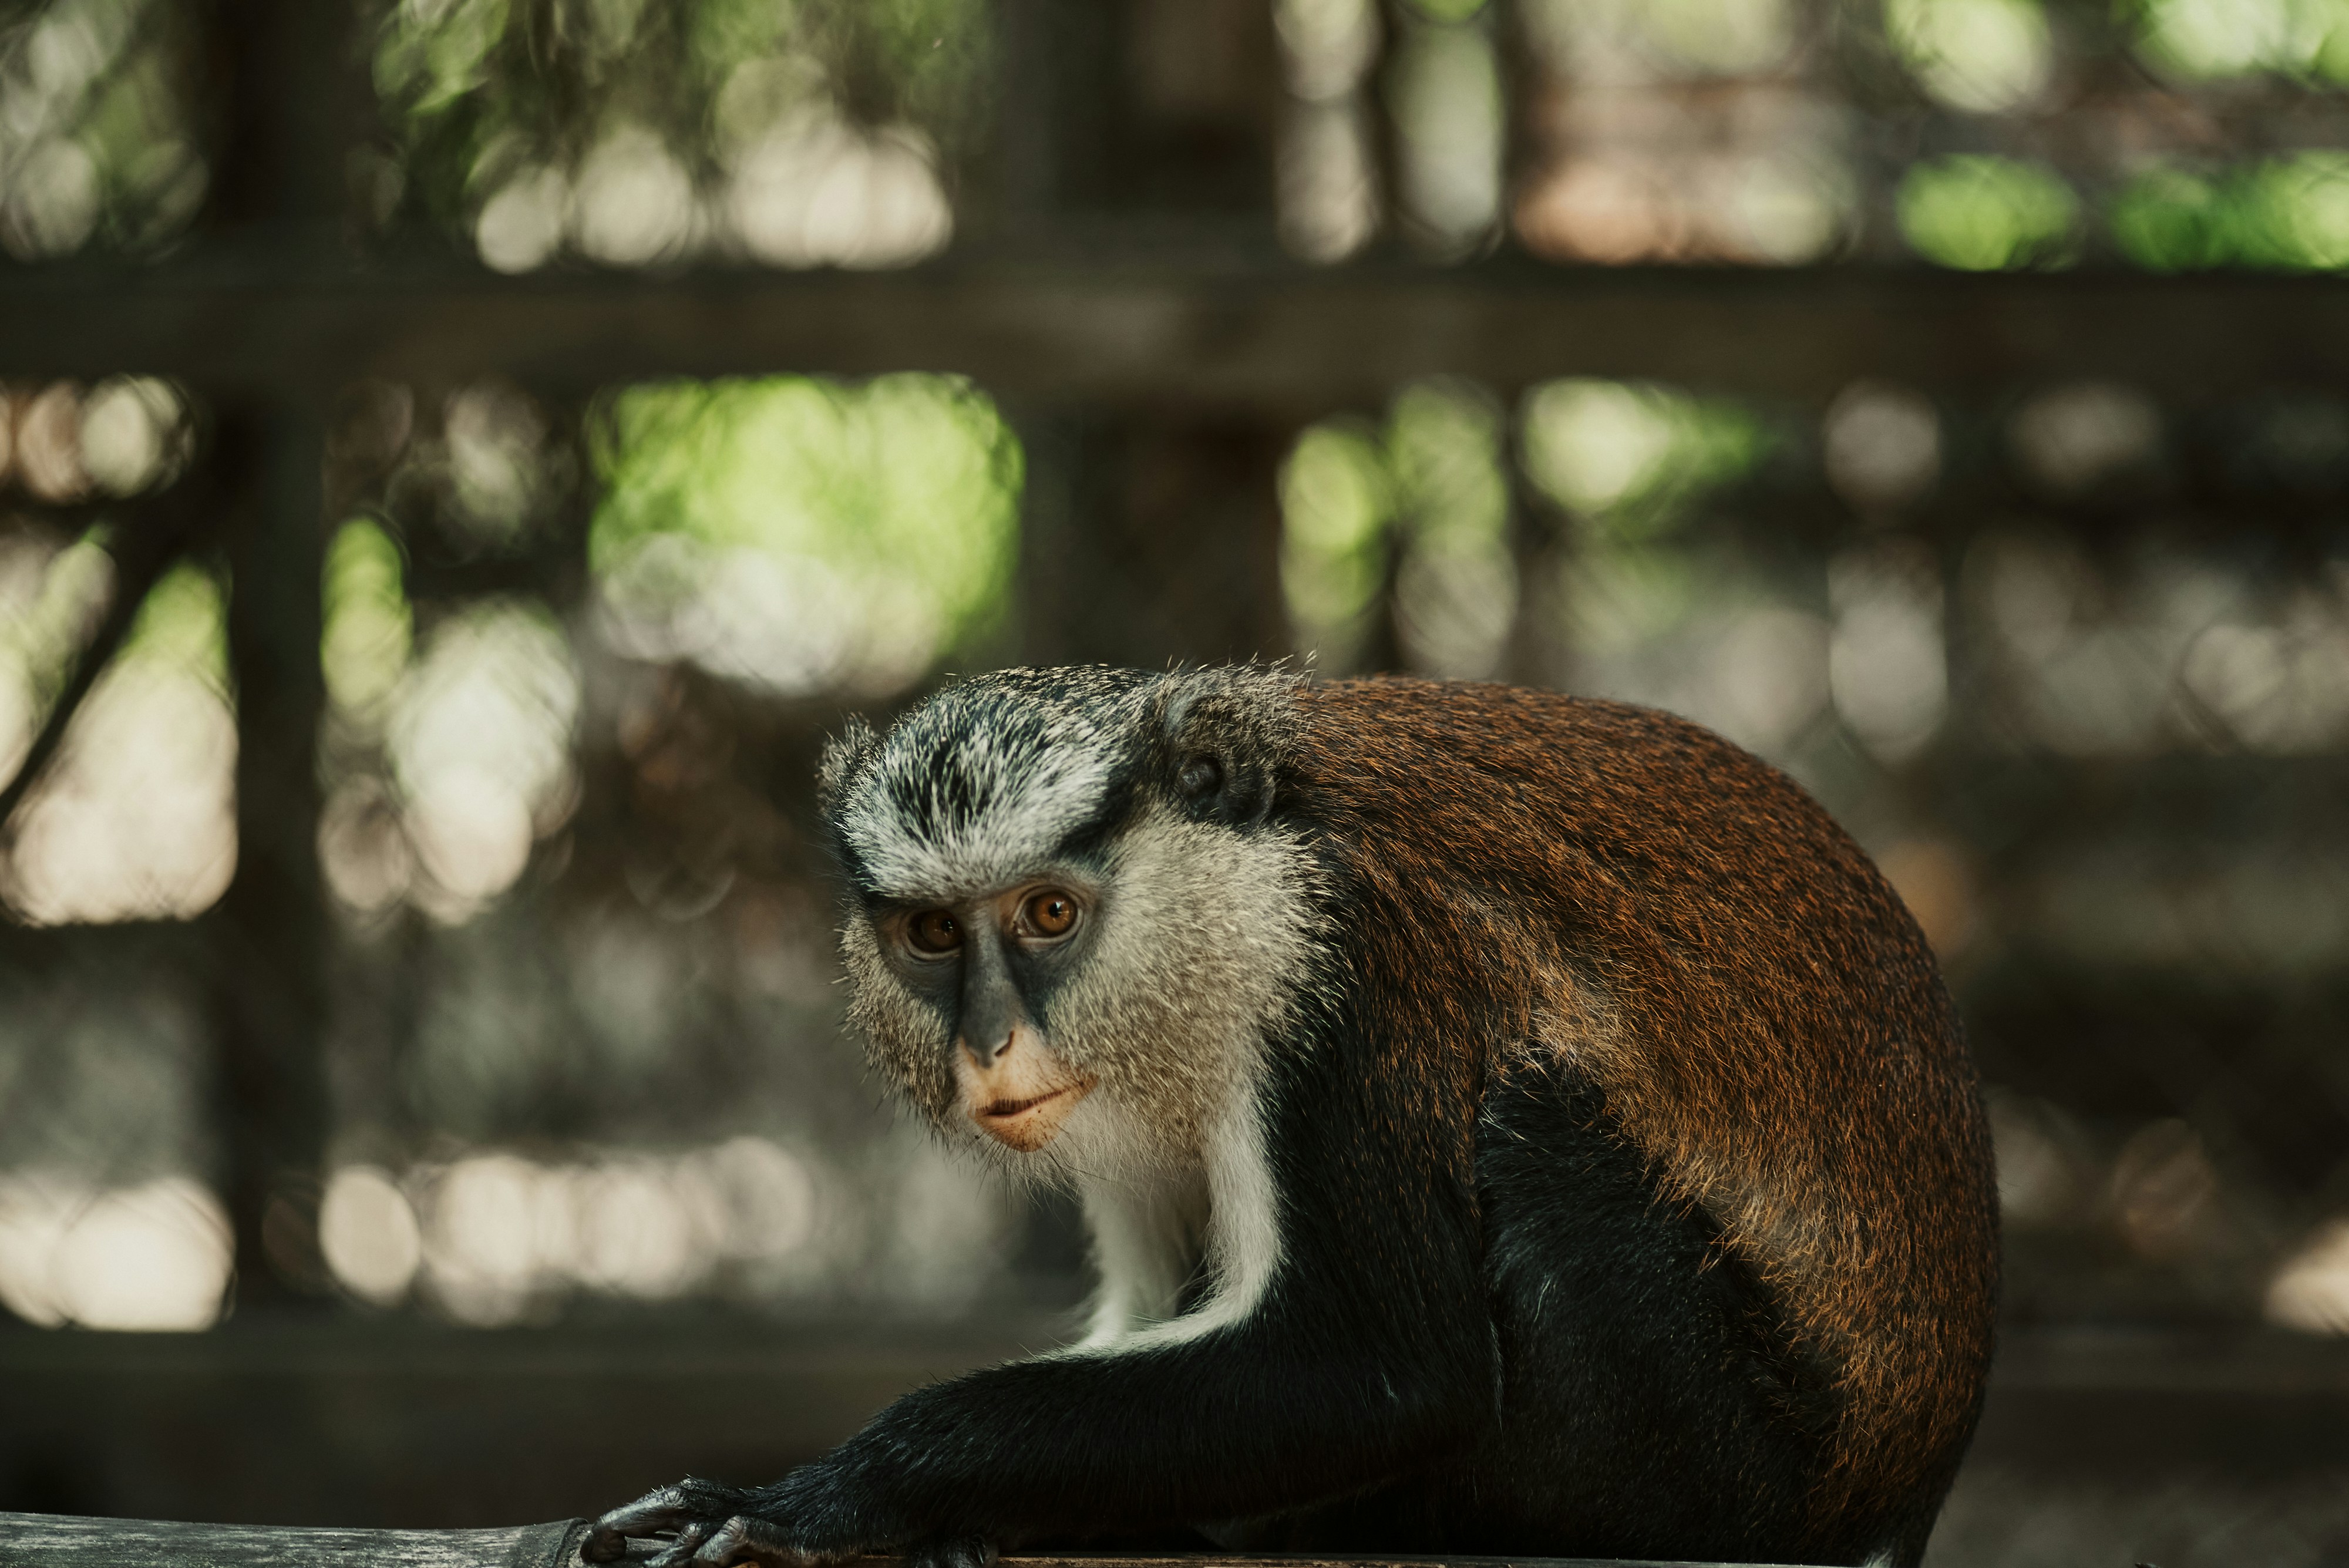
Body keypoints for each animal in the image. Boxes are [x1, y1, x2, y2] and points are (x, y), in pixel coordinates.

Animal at [585, 665, 1998, 1568]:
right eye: (934, 935)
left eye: (1049, 914)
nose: (991, 1048)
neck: (1248, 869)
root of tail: (1905, 1490)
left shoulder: (1355, 976)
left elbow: (1376, 1369)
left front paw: (847, 1491)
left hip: (1728, 1466)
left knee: (1532, 1128)